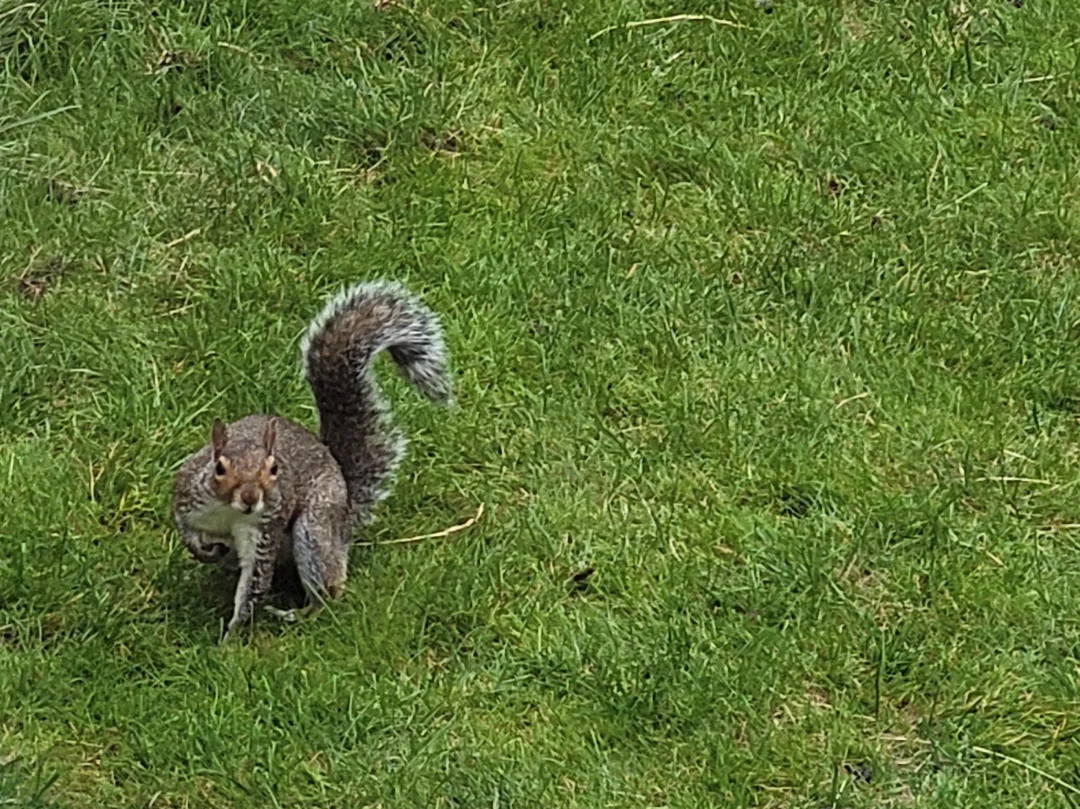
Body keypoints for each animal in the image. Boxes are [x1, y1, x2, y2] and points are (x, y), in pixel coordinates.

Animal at [171, 281, 452, 639]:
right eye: (219, 467)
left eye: (274, 469)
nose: (250, 498)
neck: (228, 512)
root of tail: (346, 511)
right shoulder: (186, 494)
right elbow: (184, 529)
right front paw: (200, 549)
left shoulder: (265, 529)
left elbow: (254, 585)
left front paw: (231, 637)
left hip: (315, 527)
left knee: (328, 590)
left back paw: (300, 614)